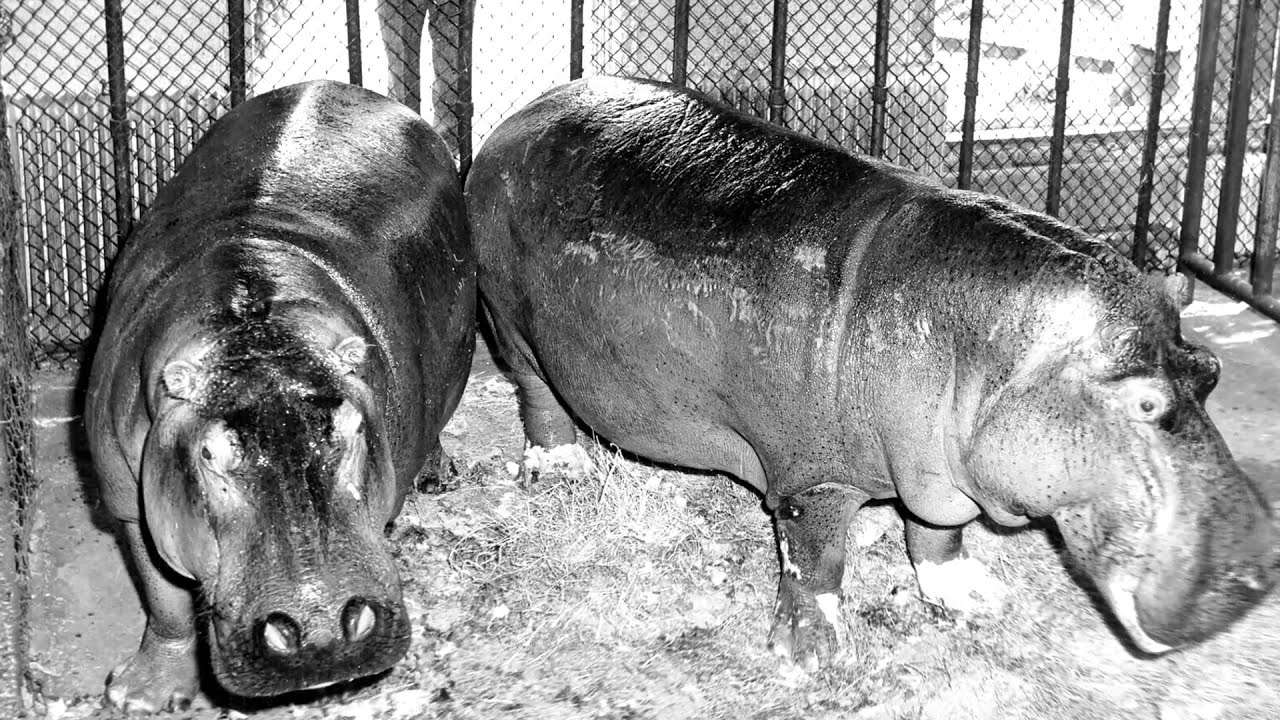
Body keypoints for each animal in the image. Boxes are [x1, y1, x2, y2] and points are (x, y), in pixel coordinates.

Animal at [85, 80, 475, 710]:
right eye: (208, 454)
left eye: (352, 429)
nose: (320, 630)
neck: (254, 329)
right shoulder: (126, 496)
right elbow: (162, 599)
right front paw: (138, 696)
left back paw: (438, 475)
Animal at [465, 76, 1276, 669]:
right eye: (1144, 404)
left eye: (1209, 369)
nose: (1256, 576)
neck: (985, 347)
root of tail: (520, 113)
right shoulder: (811, 482)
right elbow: (817, 563)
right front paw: (815, 657)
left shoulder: (936, 469)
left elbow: (938, 535)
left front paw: (971, 596)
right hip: (509, 324)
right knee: (537, 394)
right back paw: (559, 468)